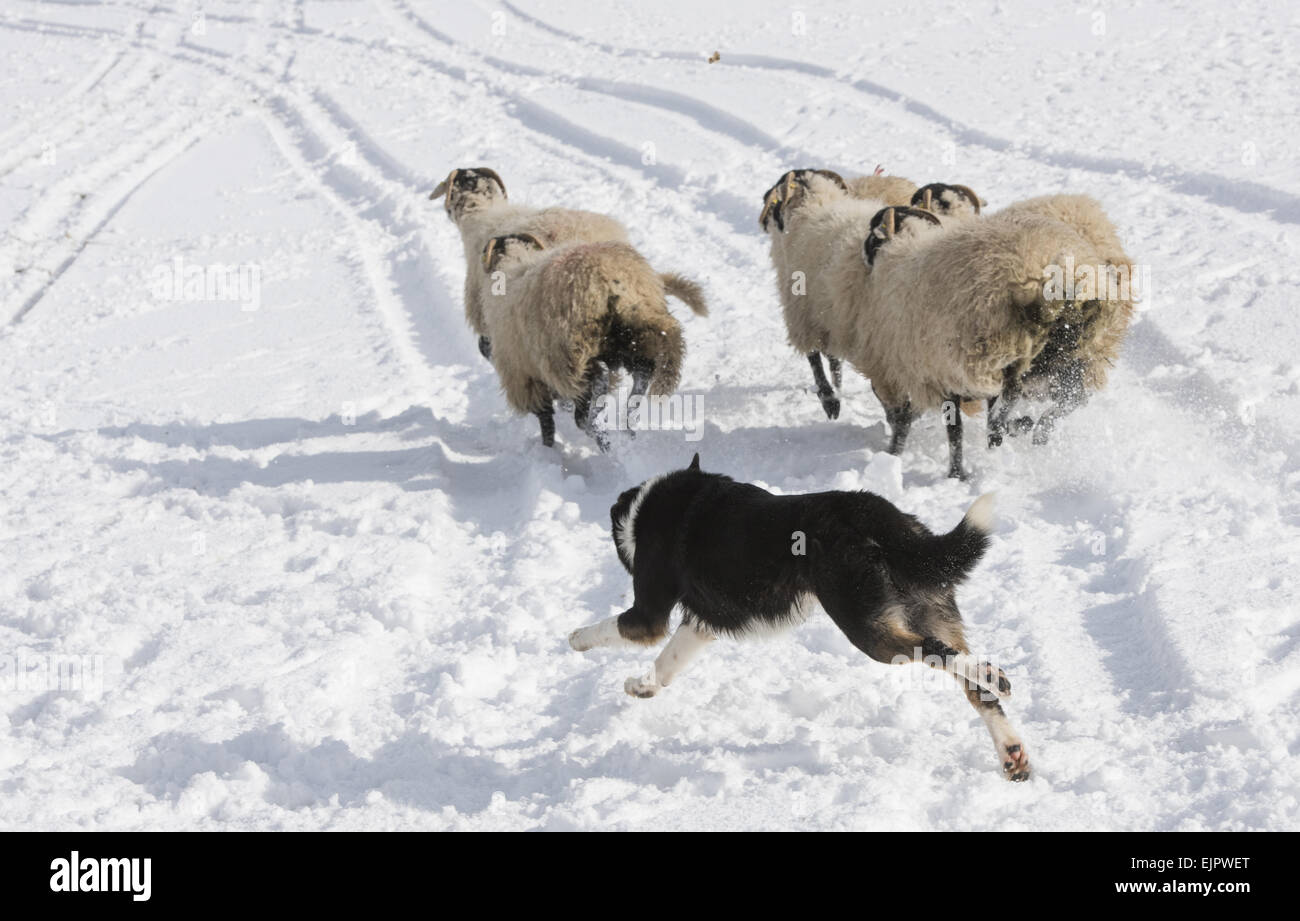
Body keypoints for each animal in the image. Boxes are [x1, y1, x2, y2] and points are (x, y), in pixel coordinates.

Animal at [478, 233, 708, 449]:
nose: (483, 344)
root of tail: (610, 281)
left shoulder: (525, 378)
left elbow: (546, 422)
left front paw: (548, 449)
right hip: (629, 337)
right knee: (642, 373)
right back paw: (626, 427)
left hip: (572, 352)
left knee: (598, 381)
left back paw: (597, 431)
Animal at [759, 167, 917, 419]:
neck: (812, 204)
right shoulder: (830, 316)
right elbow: (831, 360)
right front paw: (836, 391)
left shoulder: (803, 314)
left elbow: (815, 359)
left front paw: (830, 400)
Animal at [835, 203, 1115, 478]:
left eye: (873, 235)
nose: (863, 256)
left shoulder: (943, 374)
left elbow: (955, 431)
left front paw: (956, 473)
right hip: (1068, 356)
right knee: (1073, 397)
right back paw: (1036, 431)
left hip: (1012, 352)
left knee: (1015, 396)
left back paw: (1015, 428)